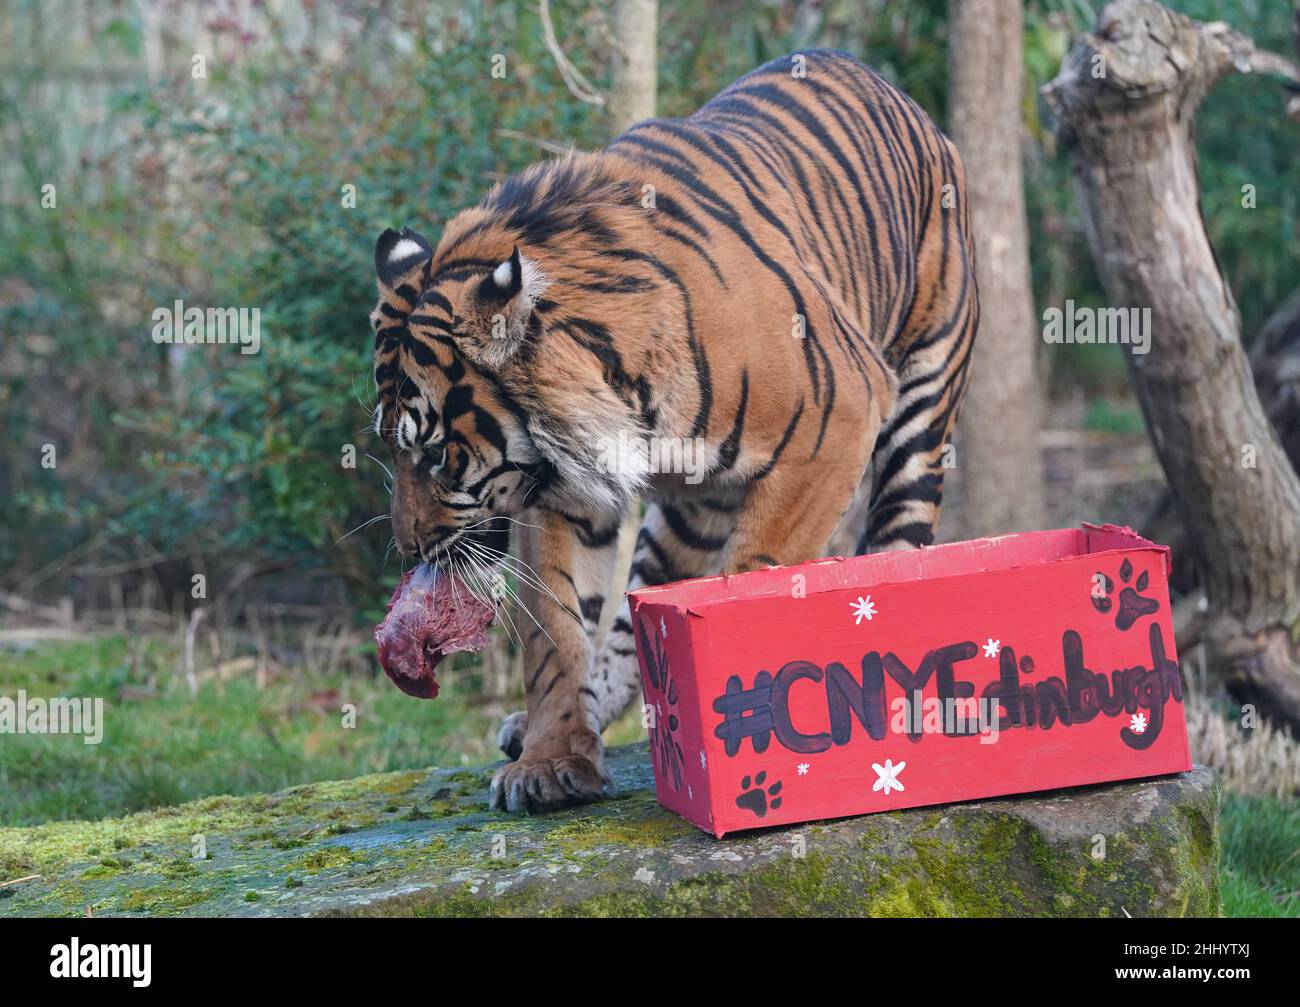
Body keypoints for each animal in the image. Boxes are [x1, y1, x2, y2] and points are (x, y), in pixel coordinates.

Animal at [369, 49, 977, 813]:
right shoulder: (565, 491)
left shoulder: (837, 418)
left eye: (434, 455)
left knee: (895, 539)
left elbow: (757, 572)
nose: (406, 546)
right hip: (693, 505)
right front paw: (550, 759)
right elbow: (556, 634)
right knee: (638, 618)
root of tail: (894, 92)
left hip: (921, 401)